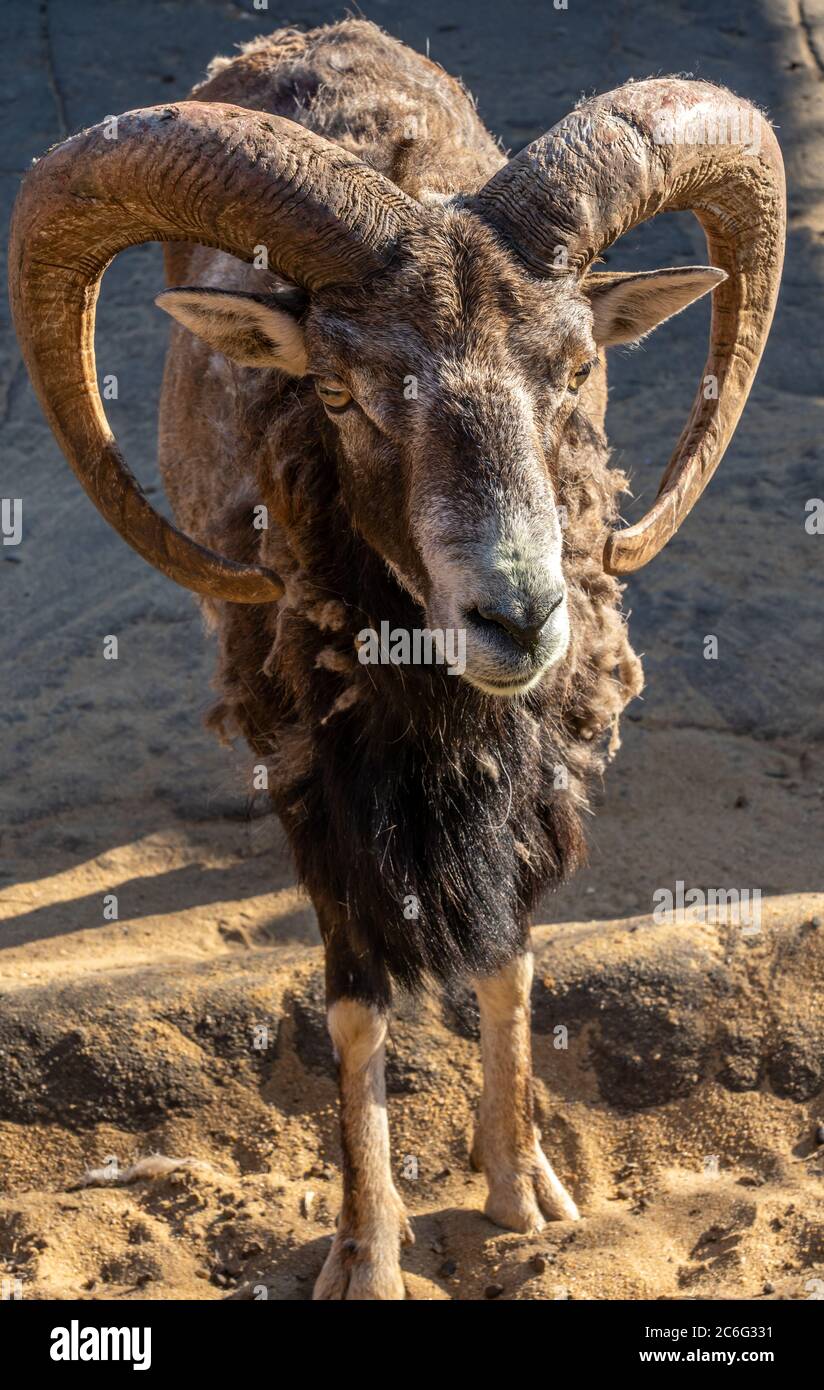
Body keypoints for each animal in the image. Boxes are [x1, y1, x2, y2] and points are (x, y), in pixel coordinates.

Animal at [10, 20, 784, 1299]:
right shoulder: (318, 782)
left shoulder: (532, 774)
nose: (516, 615)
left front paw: (524, 1195)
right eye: (338, 391)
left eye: (574, 371)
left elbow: (509, 961)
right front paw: (365, 1253)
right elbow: (355, 1005)